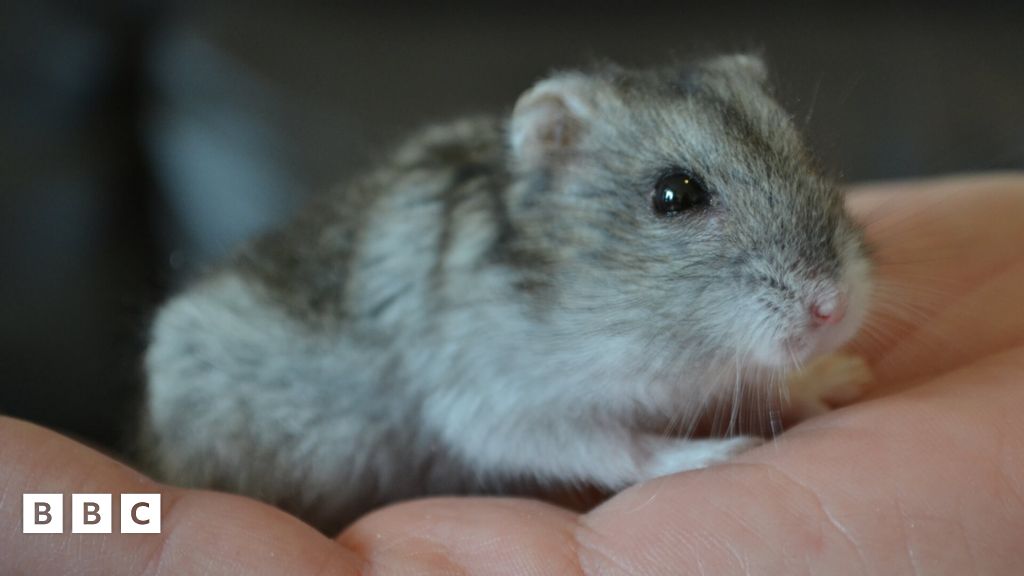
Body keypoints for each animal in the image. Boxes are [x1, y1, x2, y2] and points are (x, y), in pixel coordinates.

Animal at [141, 54, 872, 532]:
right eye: (675, 194)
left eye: (806, 154)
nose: (833, 308)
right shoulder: (494, 401)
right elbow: (614, 444)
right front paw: (713, 453)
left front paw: (838, 376)